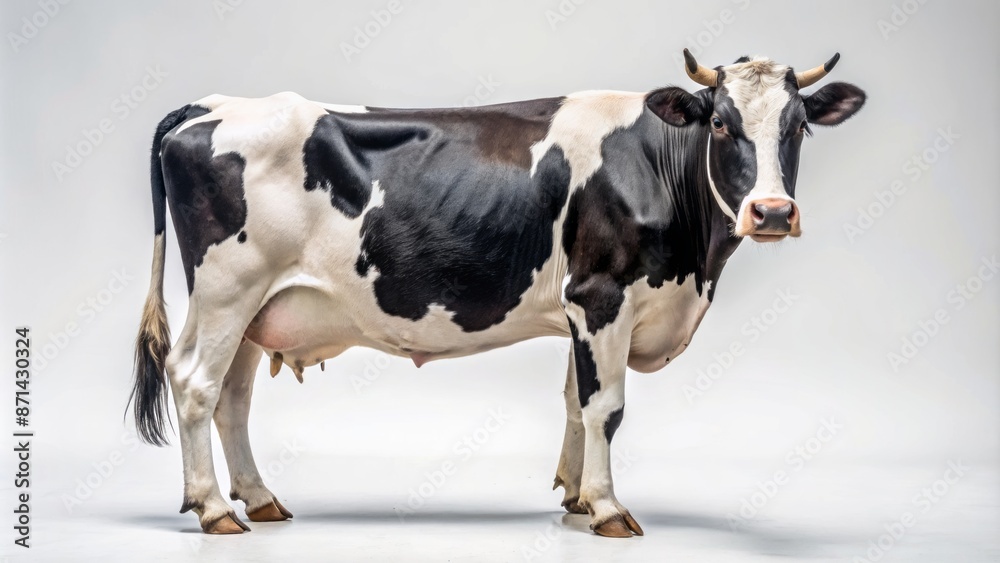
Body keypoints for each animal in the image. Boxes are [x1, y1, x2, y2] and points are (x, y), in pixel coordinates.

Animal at [128, 50, 865, 537]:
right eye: (719, 124)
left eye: (798, 126)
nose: (772, 212)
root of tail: (214, 104)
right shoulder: (602, 294)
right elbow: (606, 408)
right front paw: (608, 507)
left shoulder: (581, 307)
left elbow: (575, 402)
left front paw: (575, 496)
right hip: (227, 288)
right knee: (194, 380)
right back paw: (215, 509)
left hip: (260, 306)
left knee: (233, 396)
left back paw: (258, 498)